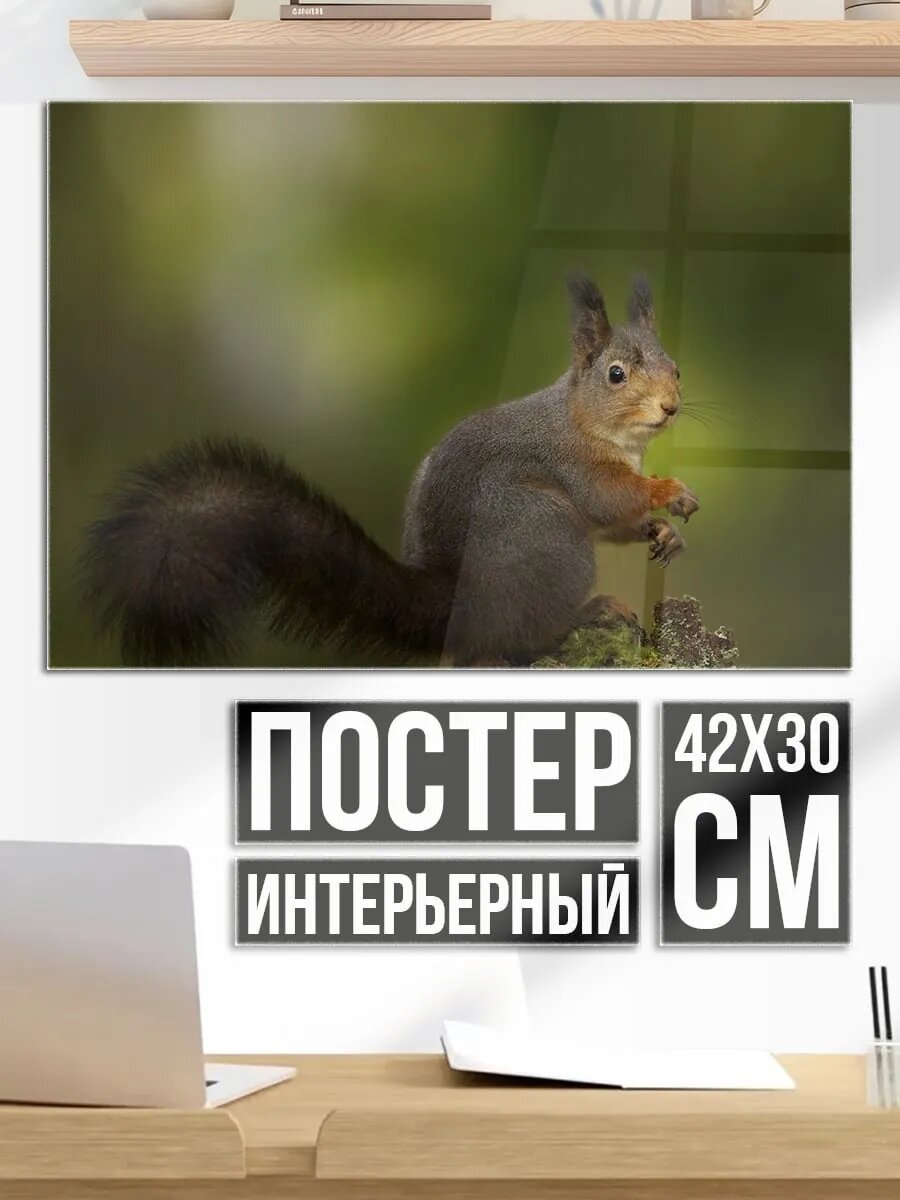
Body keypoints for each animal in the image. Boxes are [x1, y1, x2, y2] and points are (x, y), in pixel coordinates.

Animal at [82, 272, 698, 667]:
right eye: (616, 374)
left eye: (676, 367)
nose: (670, 407)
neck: (595, 426)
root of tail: (451, 602)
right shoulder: (569, 461)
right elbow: (607, 499)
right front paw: (668, 491)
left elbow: (617, 522)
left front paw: (662, 532)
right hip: (543, 531)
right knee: (516, 636)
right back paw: (586, 613)